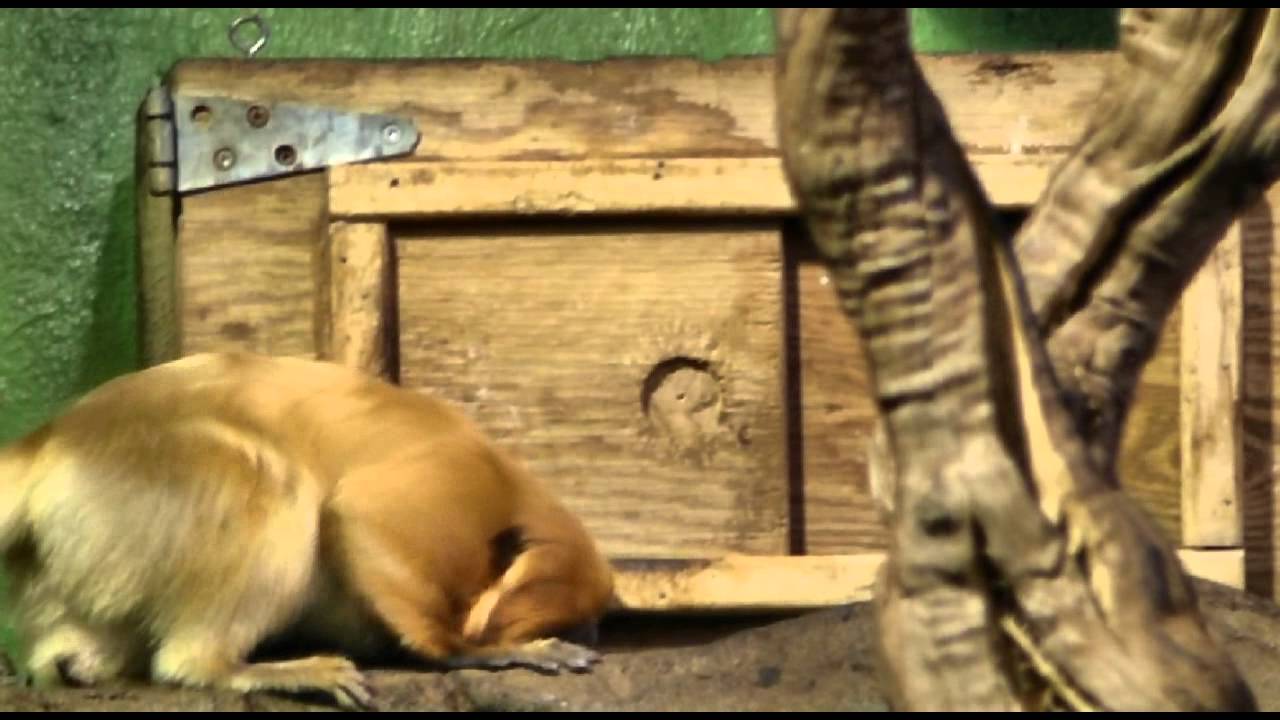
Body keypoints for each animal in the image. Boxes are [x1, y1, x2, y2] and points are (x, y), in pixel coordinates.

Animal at [0, 351, 615, 709]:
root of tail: (53, 439)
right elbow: (355, 513)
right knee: (276, 488)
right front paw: (471, 653)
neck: (501, 491)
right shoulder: (445, 491)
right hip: (150, 479)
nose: (589, 631)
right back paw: (226, 666)